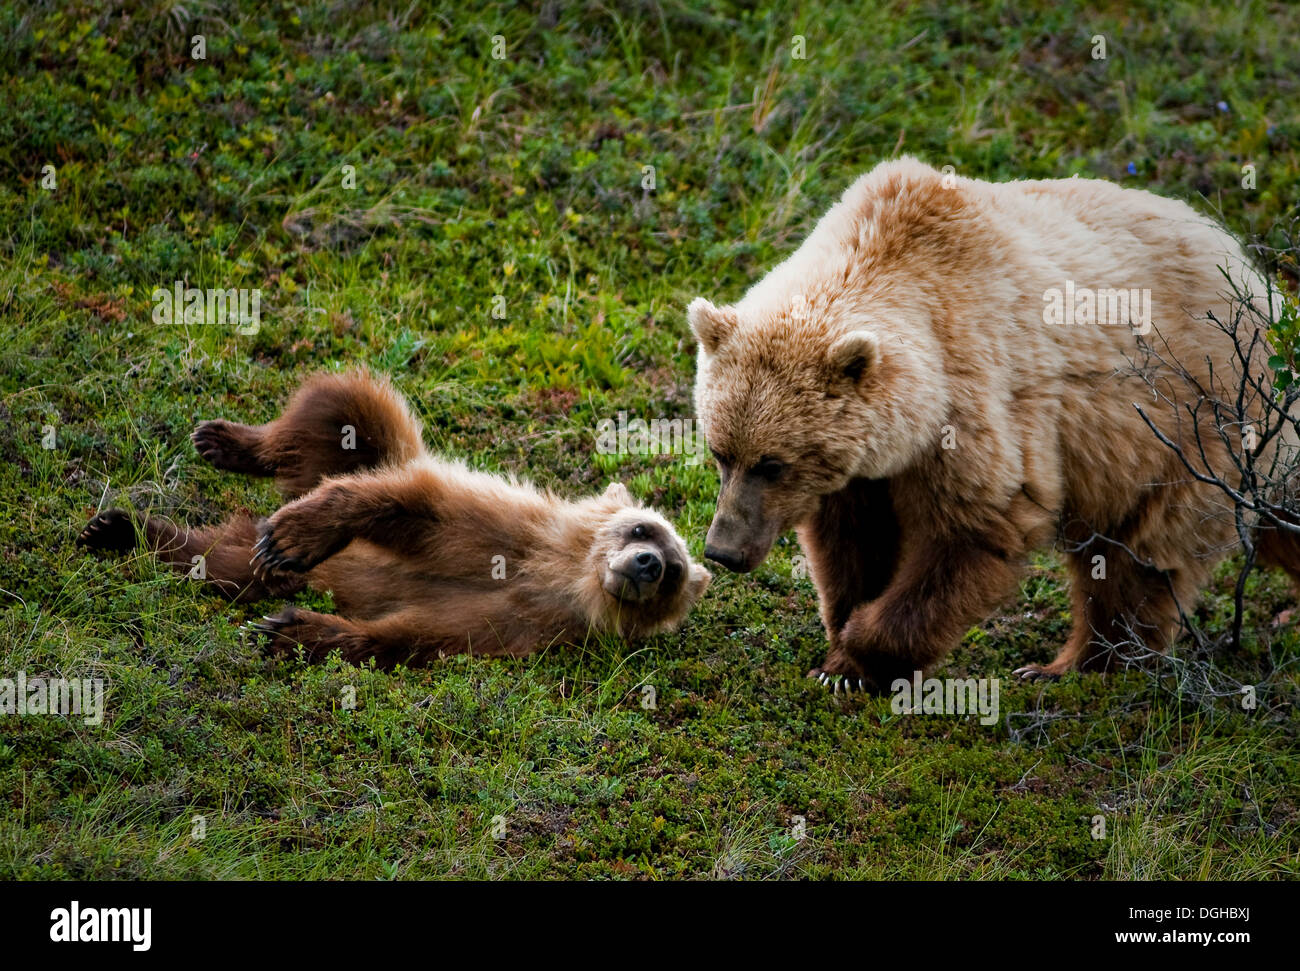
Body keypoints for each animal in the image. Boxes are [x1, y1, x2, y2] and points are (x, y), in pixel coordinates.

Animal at [77, 370, 710, 666]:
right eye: (644, 528)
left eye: (675, 572)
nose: (649, 564)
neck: (561, 574)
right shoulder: (507, 529)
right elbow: (414, 510)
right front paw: (294, 536)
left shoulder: (527, 624)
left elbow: (417, 633)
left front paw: (289, 630)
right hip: (369, 447)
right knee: (342, 407)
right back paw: (224, 444)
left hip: (248, 564)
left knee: (219, 559)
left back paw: (122, 531)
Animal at [687, 156, 1297, 693]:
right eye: (720, 452)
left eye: (773, 464)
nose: (722, 551)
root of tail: (1258, 281)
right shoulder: (864, 466)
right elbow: (854, 540)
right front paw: (840, 650)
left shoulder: (974, 401)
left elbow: (978, 527)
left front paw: (860, 657)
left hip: (1192, 429)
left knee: (1138, 559)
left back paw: (1078, 666)